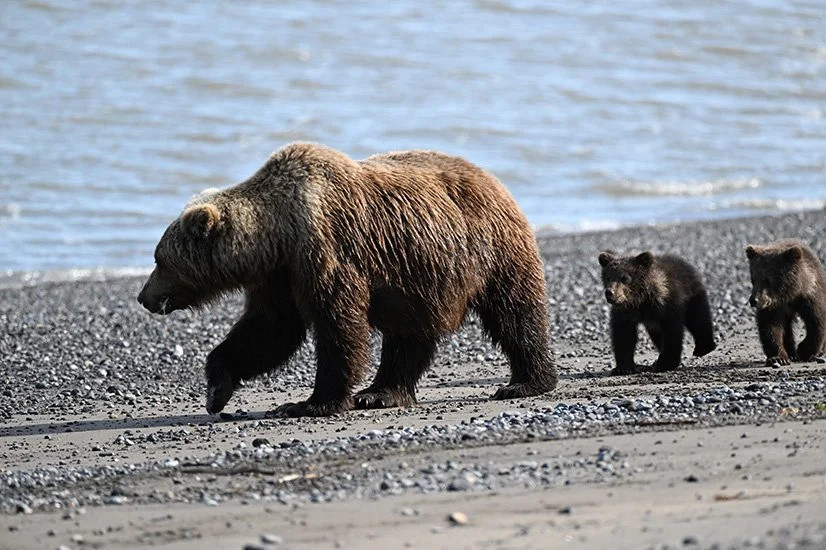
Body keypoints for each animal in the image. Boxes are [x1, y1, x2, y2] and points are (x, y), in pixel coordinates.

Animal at [137, 142, 558, 417]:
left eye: (159, 259)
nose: (143, 296)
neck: (278, 236)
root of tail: (494, 179)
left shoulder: (327, 254)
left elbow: (338, 327)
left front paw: (310, 403)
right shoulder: (280, 277)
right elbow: (269, 331)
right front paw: (217, 388)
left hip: (490, 250)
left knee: (514, 313)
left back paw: (525, 382)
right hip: (419, 275)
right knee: (409, 335)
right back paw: (381, 392)